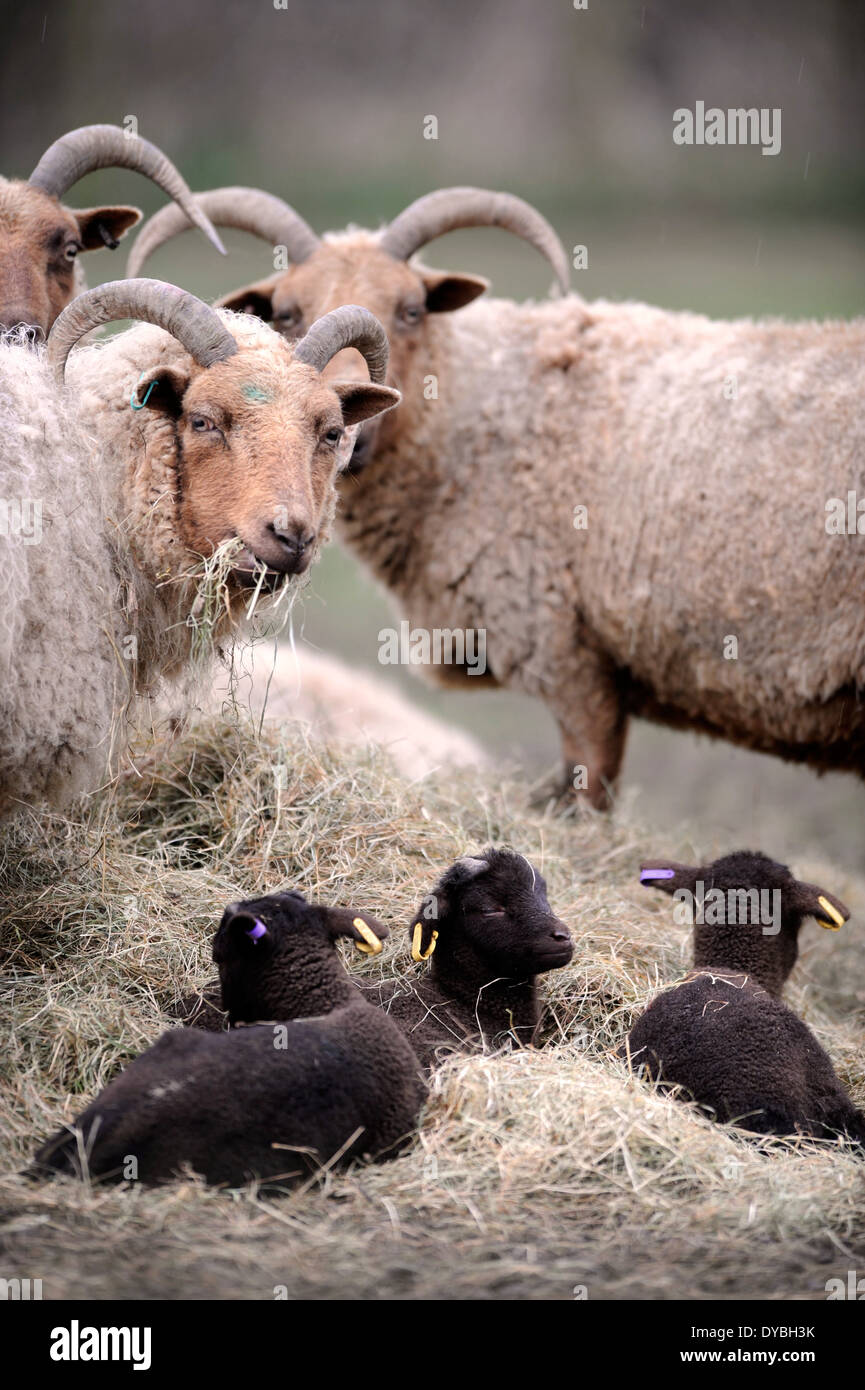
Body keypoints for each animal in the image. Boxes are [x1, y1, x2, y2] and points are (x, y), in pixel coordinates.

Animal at [129, 185, 865, 808]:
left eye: (414, 309)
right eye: (284, 312)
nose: (346, 437)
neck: (483, 407)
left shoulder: (570, 654)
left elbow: (588, 801)